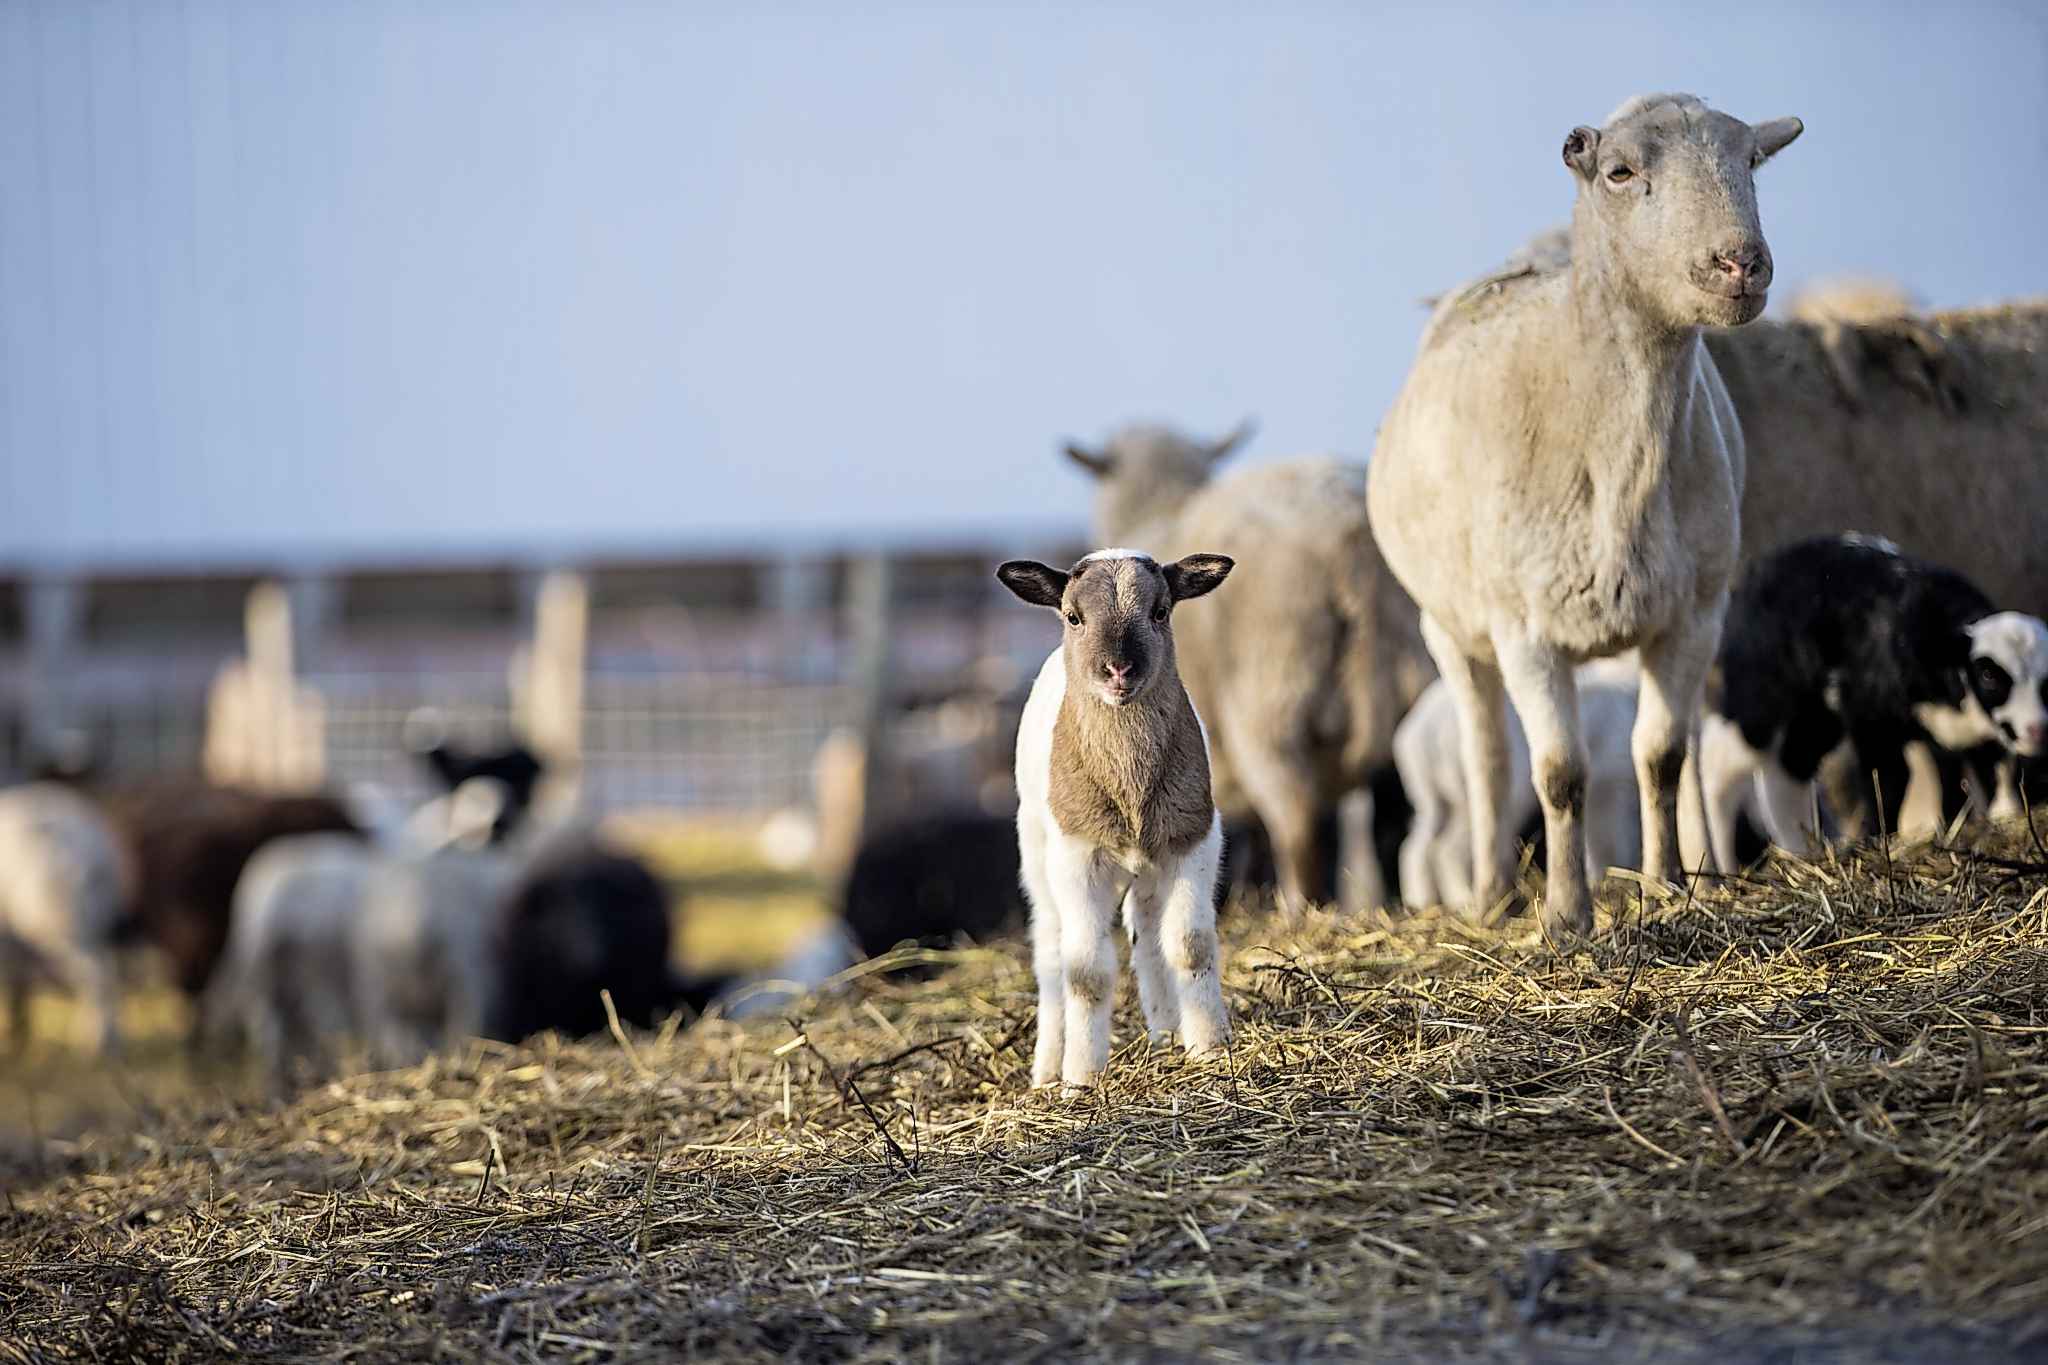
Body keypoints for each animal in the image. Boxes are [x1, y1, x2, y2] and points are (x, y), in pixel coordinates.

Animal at [999, 548, 1235, 1091]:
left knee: (1147, 937)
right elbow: (1085, 972)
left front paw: (1209, 1047)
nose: (1119, 670)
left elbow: (1190, 945)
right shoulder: (1077, 854)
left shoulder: (1193, 838)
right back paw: (1047, 1069)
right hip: (1037, 855)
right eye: (1073, 617)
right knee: (1050, 954)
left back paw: (1167, 1033)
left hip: (1147, 870)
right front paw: (1082, 1077)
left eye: (1161, 612)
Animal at [1063, 425, 1434, 912]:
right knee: (1392, 826)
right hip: (1408, 695)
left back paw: (1300, 910)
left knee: (1299, 828)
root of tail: (1349, 543)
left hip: (1271, 707)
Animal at [1395, 659, 1642, 911]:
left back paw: (1422, 902)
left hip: (1434, 798)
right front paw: (1615, 885)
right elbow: (1610, 840)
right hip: (1471, 797)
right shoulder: (1609, 782)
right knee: (1448, 849)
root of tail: (1414, 738)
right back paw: (1462, 900)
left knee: (1416, 847)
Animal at [1698, 534, 2048, 868]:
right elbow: (1889, 780)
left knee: (1788, 769)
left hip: (1815, 714)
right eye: (1988, 675)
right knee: (1722, 762)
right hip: (1761, 690)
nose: (2036, 730)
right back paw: (1723, 867)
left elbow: (1976, 780)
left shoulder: (1967, 738)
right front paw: (1877, 838)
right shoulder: (1872, 716)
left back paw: (1801, 850)